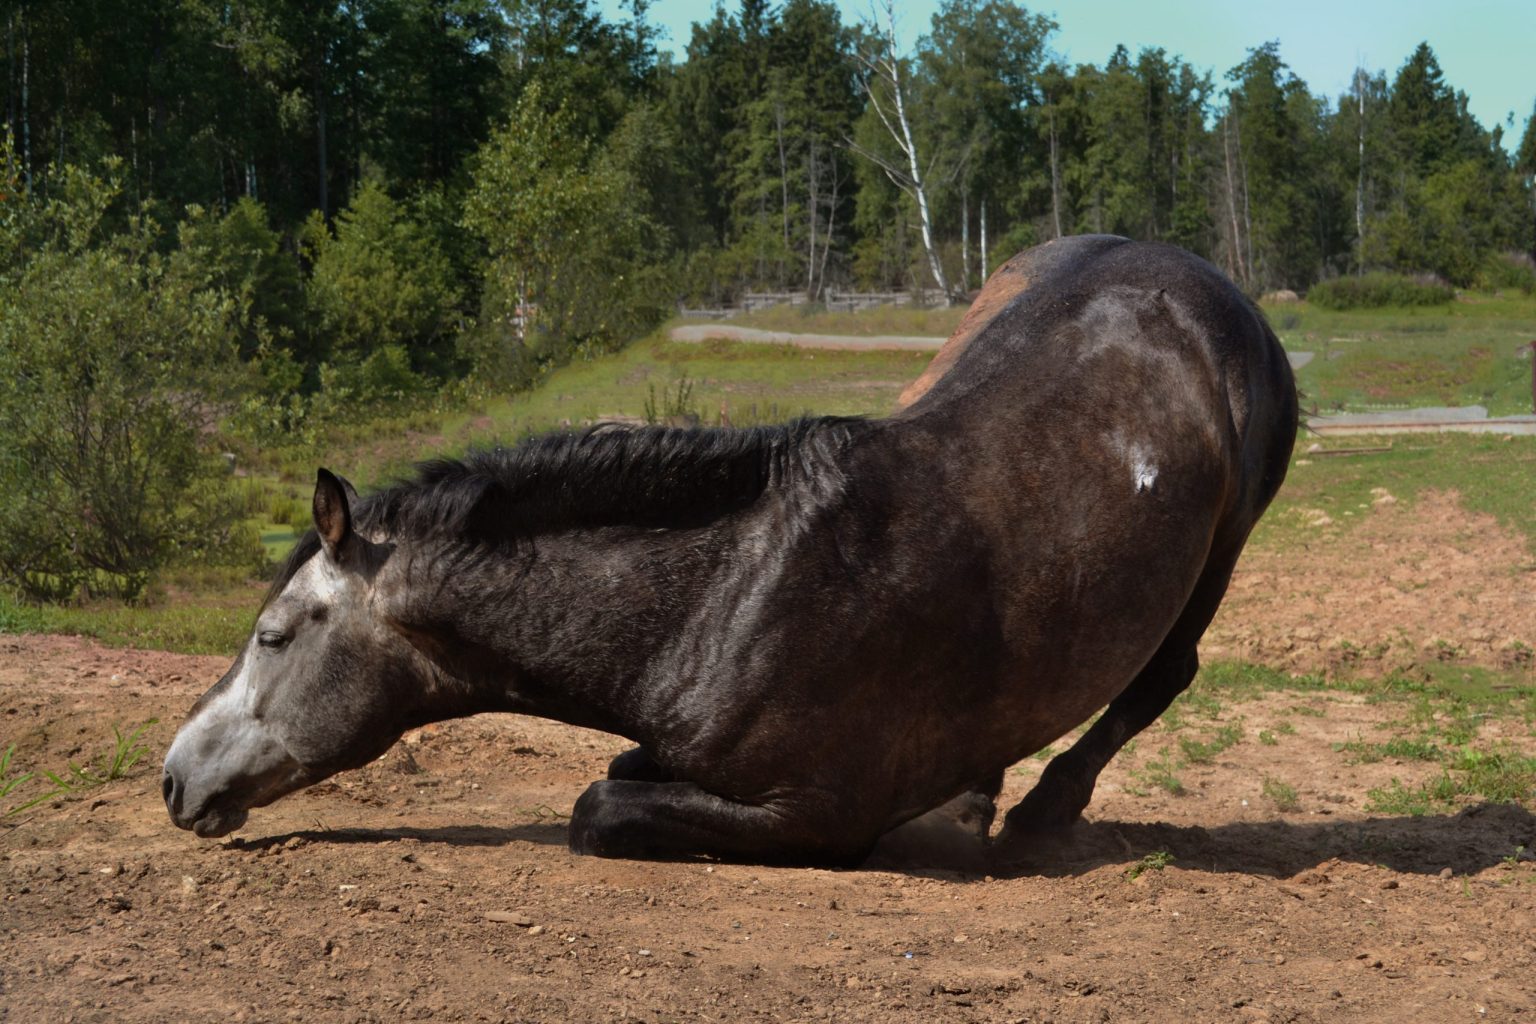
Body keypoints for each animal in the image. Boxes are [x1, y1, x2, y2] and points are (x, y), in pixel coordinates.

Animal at [163, 235, 1297, 866]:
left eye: (271, 636)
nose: (172, 777)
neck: (726, 594)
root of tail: (1204, 281)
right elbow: (622, 769)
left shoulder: (816, 817)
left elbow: (596, 805)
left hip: (1228, 544)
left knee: (1163, 673)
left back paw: (1040, 814)